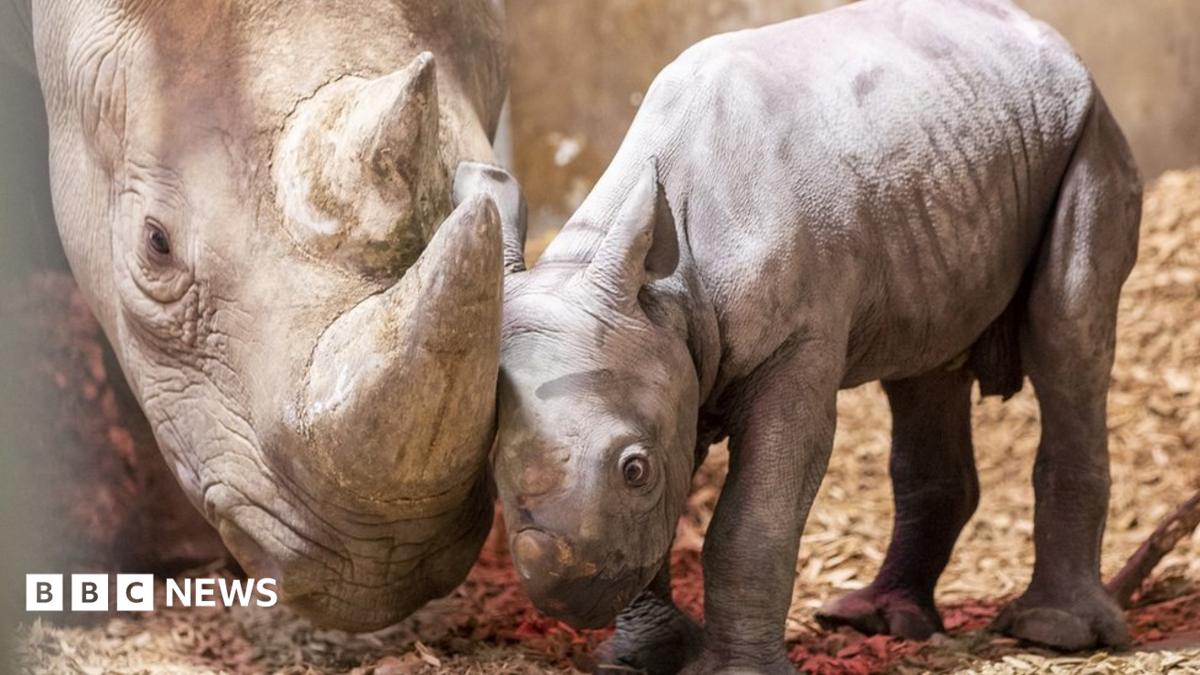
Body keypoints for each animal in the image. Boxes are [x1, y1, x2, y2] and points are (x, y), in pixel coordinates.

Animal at [485, 0, 1142, 671]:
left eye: (633, 469)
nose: (565, 595)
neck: (660, 295)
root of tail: (1050, 38)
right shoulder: (667, 359)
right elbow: (664, 520)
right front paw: (639, 659)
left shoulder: (792, 345)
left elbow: (753, 518)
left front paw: (734, 671)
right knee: (924, 368)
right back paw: (878, 620)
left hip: (1087, 131)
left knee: (1067, 342)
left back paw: (1054, 633)